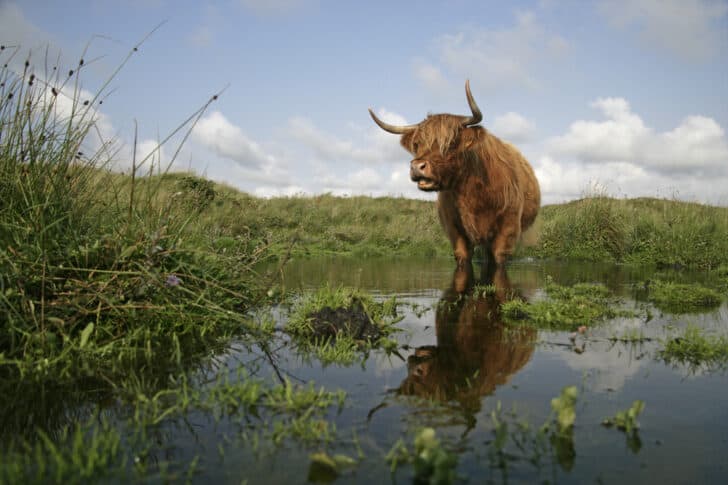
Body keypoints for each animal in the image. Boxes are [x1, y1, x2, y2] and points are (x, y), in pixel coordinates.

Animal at [369, 81, 540, 271]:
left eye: (450, 143)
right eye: (417, 144)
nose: (417, 167)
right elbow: (462, 257)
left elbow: (498, 260)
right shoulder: (454, 228)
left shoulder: (508, 228)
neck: (473, 194)